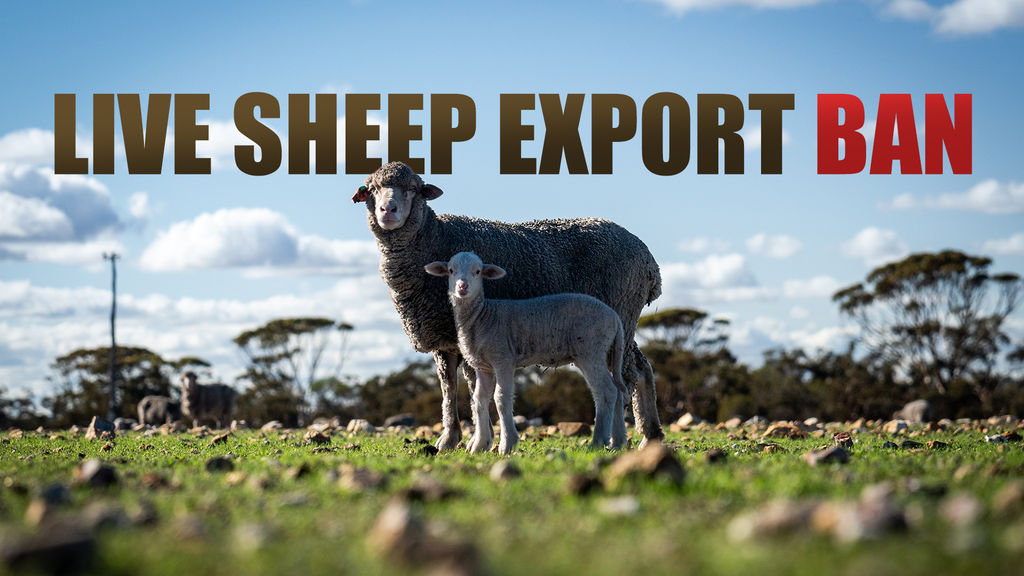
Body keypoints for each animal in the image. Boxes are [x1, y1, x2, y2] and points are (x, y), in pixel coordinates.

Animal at [426, 252, 629, 454]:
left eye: (477, 271)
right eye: (451, 270)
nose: (462, 286)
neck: (481, 316)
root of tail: (615, 317)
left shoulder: (503, 359)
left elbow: (501, 398)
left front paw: (507, 444)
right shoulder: (483, 367)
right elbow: (479, 400)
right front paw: (480, 445)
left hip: (591, 350)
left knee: (606, 391)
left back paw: (598, 441)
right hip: (605, 352)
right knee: (618, 391)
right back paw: (618, 441)